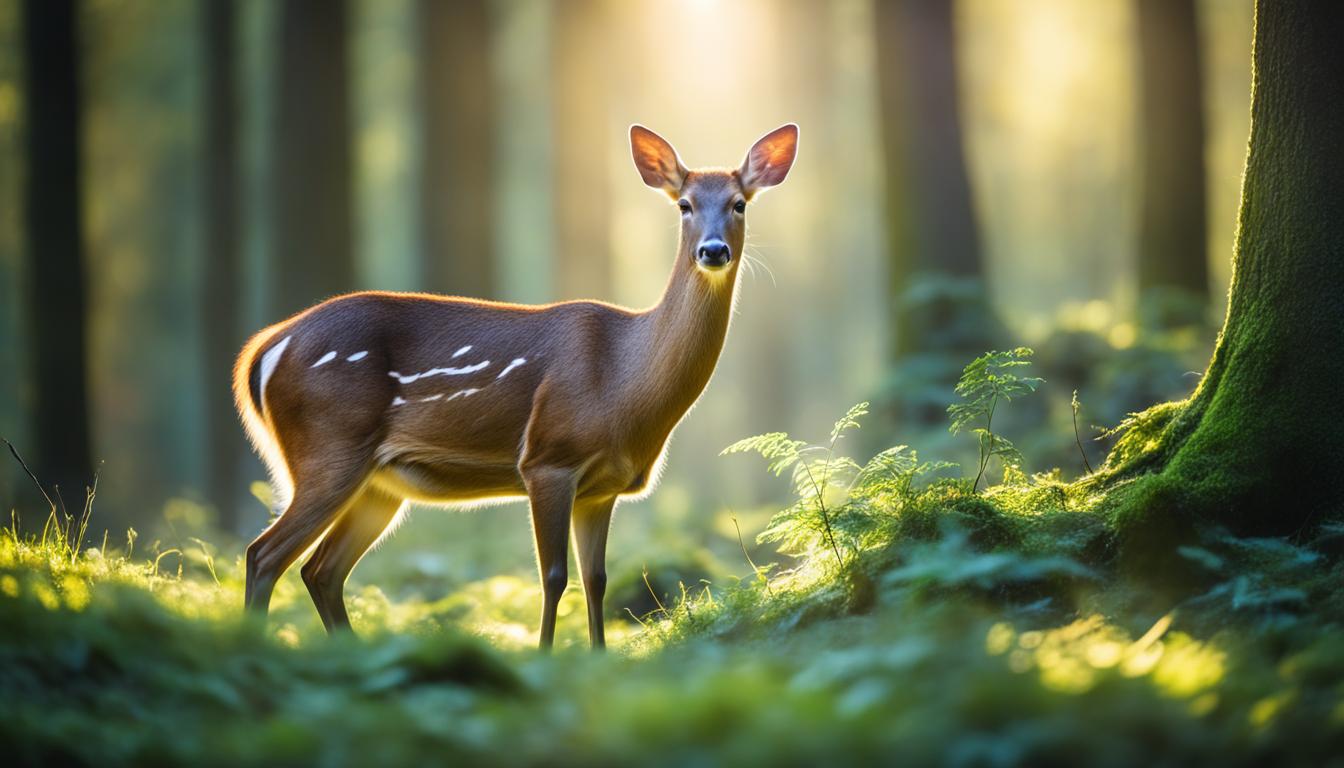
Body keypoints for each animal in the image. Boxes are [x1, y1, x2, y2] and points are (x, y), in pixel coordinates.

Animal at [232, 123, 798, 649]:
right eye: (684, 204)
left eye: (739, 204)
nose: (713, 250)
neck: (623, 383)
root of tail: (263, 351)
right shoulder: (547, 458)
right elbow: (552, 577)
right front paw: (546, 656)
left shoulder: (602, 488)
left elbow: (597, 579)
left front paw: (598, 657)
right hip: (327, 445)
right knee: (263, 554)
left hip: (380, 482)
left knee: (320, 570)